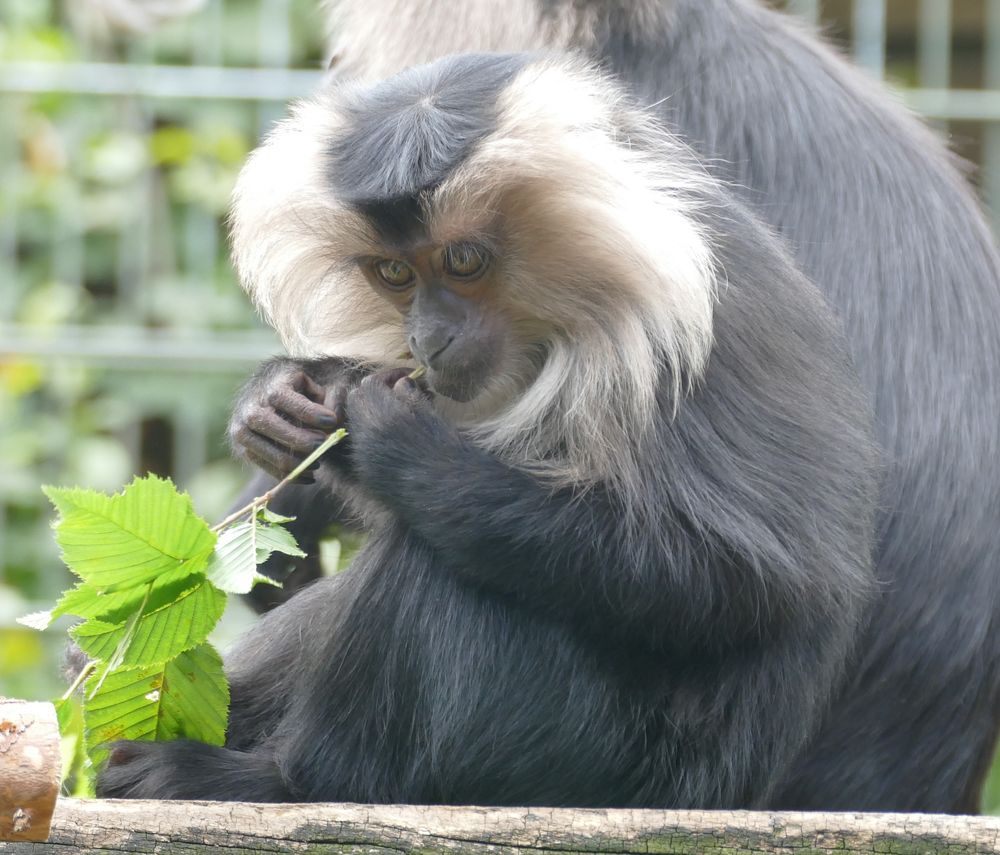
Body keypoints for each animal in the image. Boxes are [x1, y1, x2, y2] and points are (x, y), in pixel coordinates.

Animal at [95, 53, 879, 807]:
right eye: (393, 273)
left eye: (464, 260)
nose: (427, 338)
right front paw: (282, 398)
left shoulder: (689, 332)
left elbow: (731, 580)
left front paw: (401, 449)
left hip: (589, 758)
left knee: (437, 557)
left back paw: (276, 782)